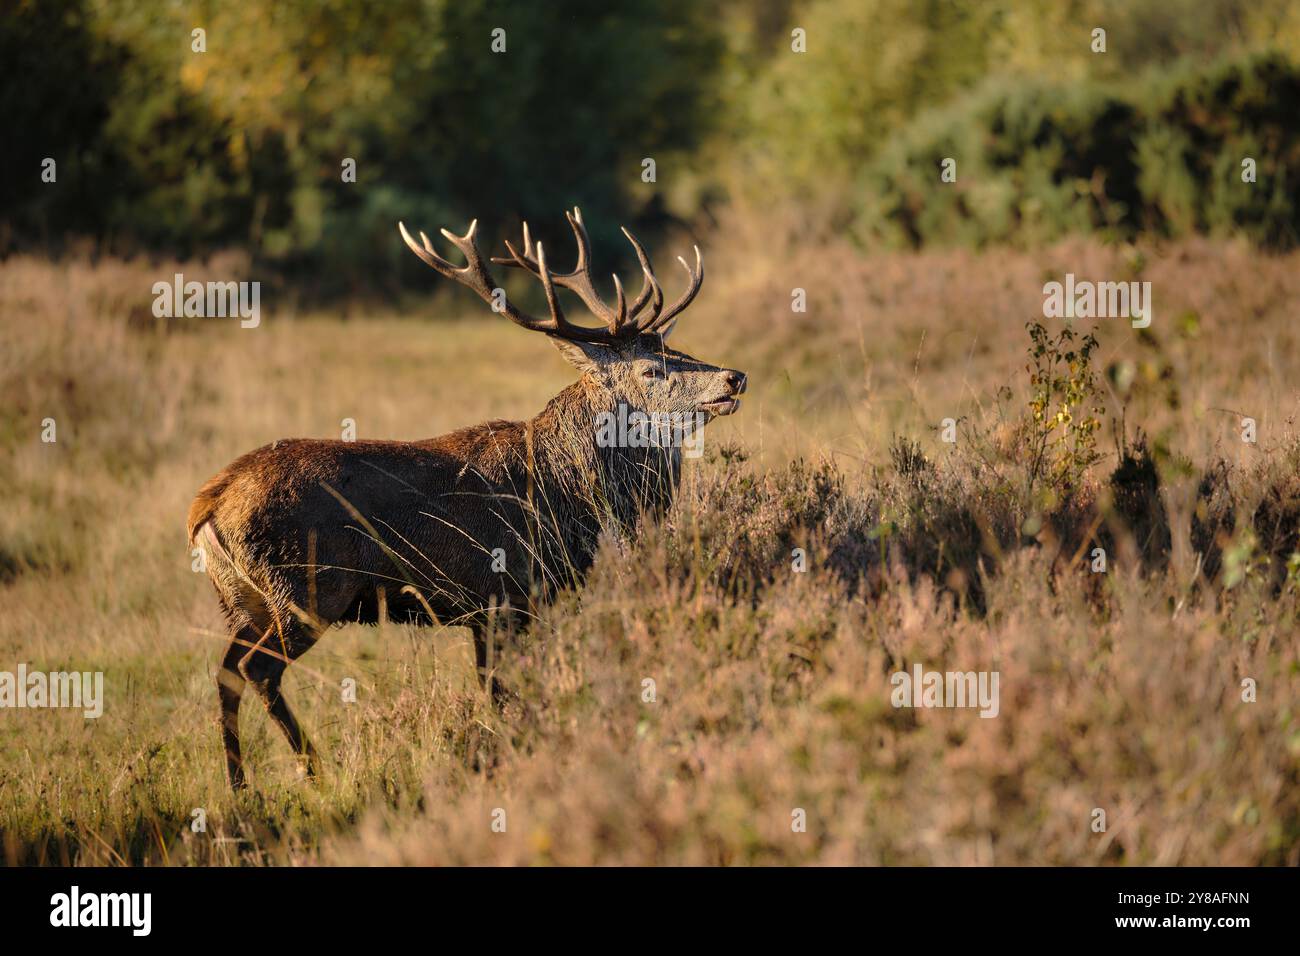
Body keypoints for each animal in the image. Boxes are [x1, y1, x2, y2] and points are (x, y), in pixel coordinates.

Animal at [187, 209, 747, 790]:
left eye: (675, 350)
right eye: (651, 369)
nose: (735, 377)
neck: (573, 496)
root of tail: (205, 508)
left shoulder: (492, 610)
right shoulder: (509, 593)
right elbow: (502, 693)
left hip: (244, 599)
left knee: (225, 670)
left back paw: (240, 785)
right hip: (308, 587)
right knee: (256, 668)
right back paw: (315, 771)